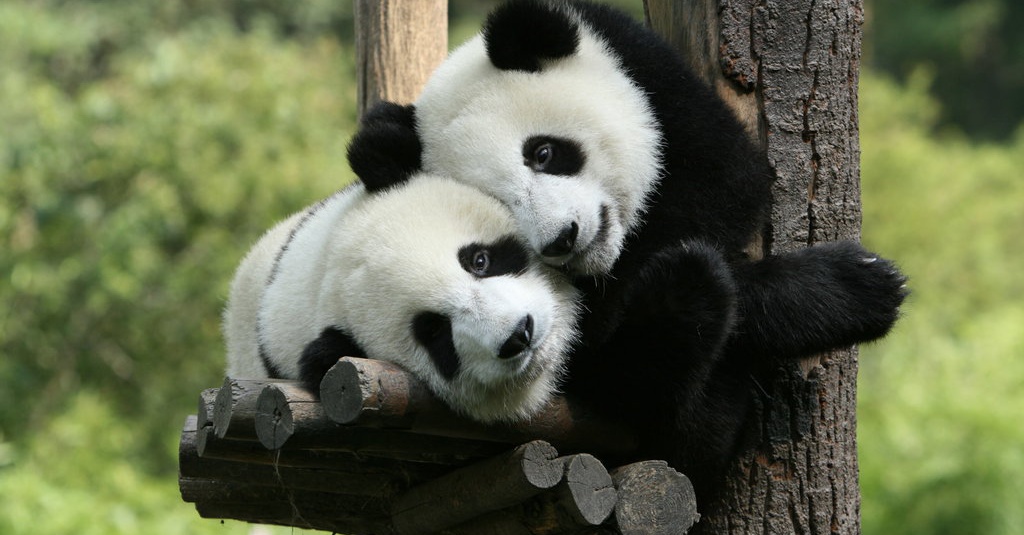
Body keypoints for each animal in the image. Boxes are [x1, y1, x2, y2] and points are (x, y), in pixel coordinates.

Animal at [347, 0, 907, 501]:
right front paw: (853, 288)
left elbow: (727, 183)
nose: (563, 238)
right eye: (501, 205)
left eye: (543, 153)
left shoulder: (654, 83)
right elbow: (607, 347)